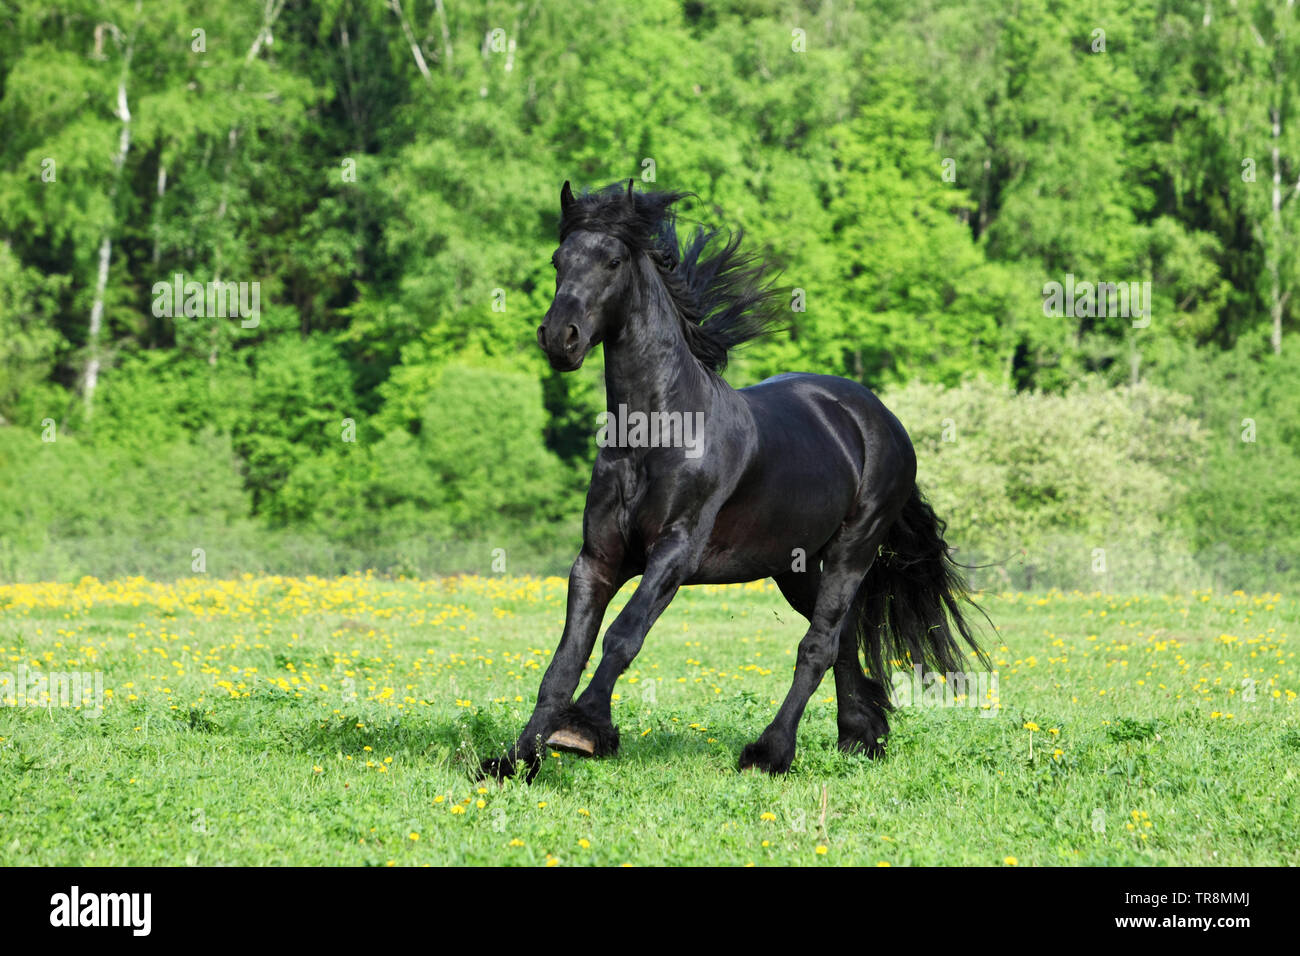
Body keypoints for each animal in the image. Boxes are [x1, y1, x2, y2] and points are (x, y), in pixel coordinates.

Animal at [481, 179, 988, 781]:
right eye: (559, 260)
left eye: (612, 261)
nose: (561, 338)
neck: (656, 434)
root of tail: (880, 417)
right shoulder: (597, 559)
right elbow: (564, 658)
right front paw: (516, 760)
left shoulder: (675, 553)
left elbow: (623, 634)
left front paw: (584, 729)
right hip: (795, 566)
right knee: (838, 639)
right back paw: (859, 736)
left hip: (853, 549)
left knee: (817, 645)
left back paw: (770, 752)